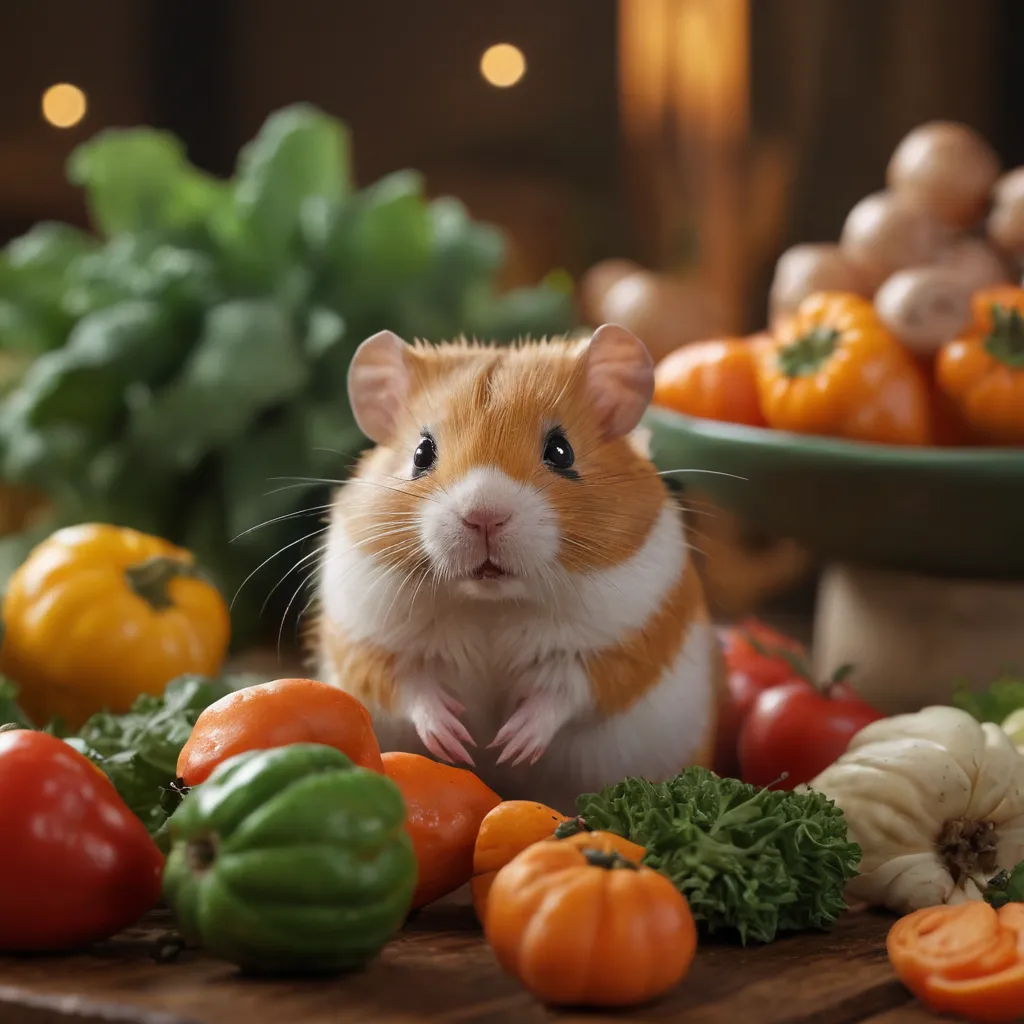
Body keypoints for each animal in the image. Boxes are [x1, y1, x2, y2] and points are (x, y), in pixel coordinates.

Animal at [312, 323, 725, 814]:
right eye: (421, 453)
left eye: (562, 452)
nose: (483, 515)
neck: (493, 604)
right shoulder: (366, 641)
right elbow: (411, 687)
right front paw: (456, 742)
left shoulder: (620, 647)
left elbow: (563, 693)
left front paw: (510, 746)